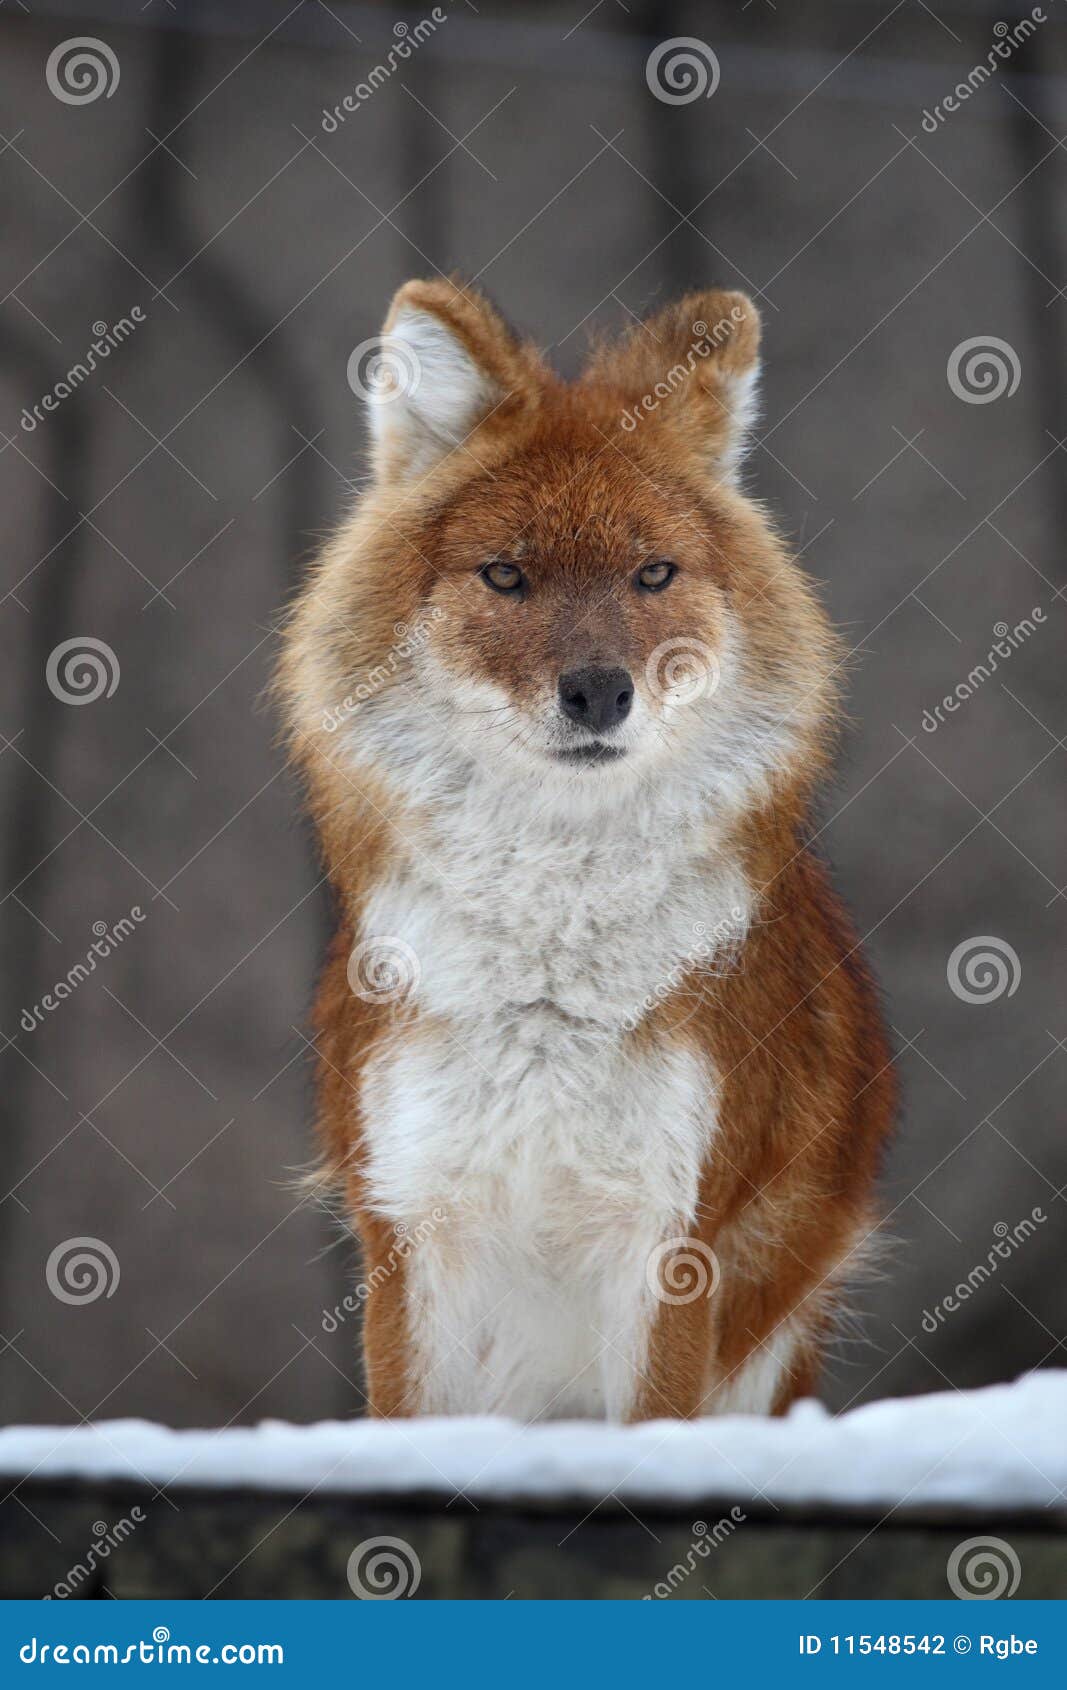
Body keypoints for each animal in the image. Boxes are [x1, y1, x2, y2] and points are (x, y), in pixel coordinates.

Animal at [279, 278, 895, 1423]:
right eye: (505, 575)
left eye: (653, 573)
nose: (600, 690)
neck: (545, 967)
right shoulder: (411, 1229)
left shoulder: (670, 1241)